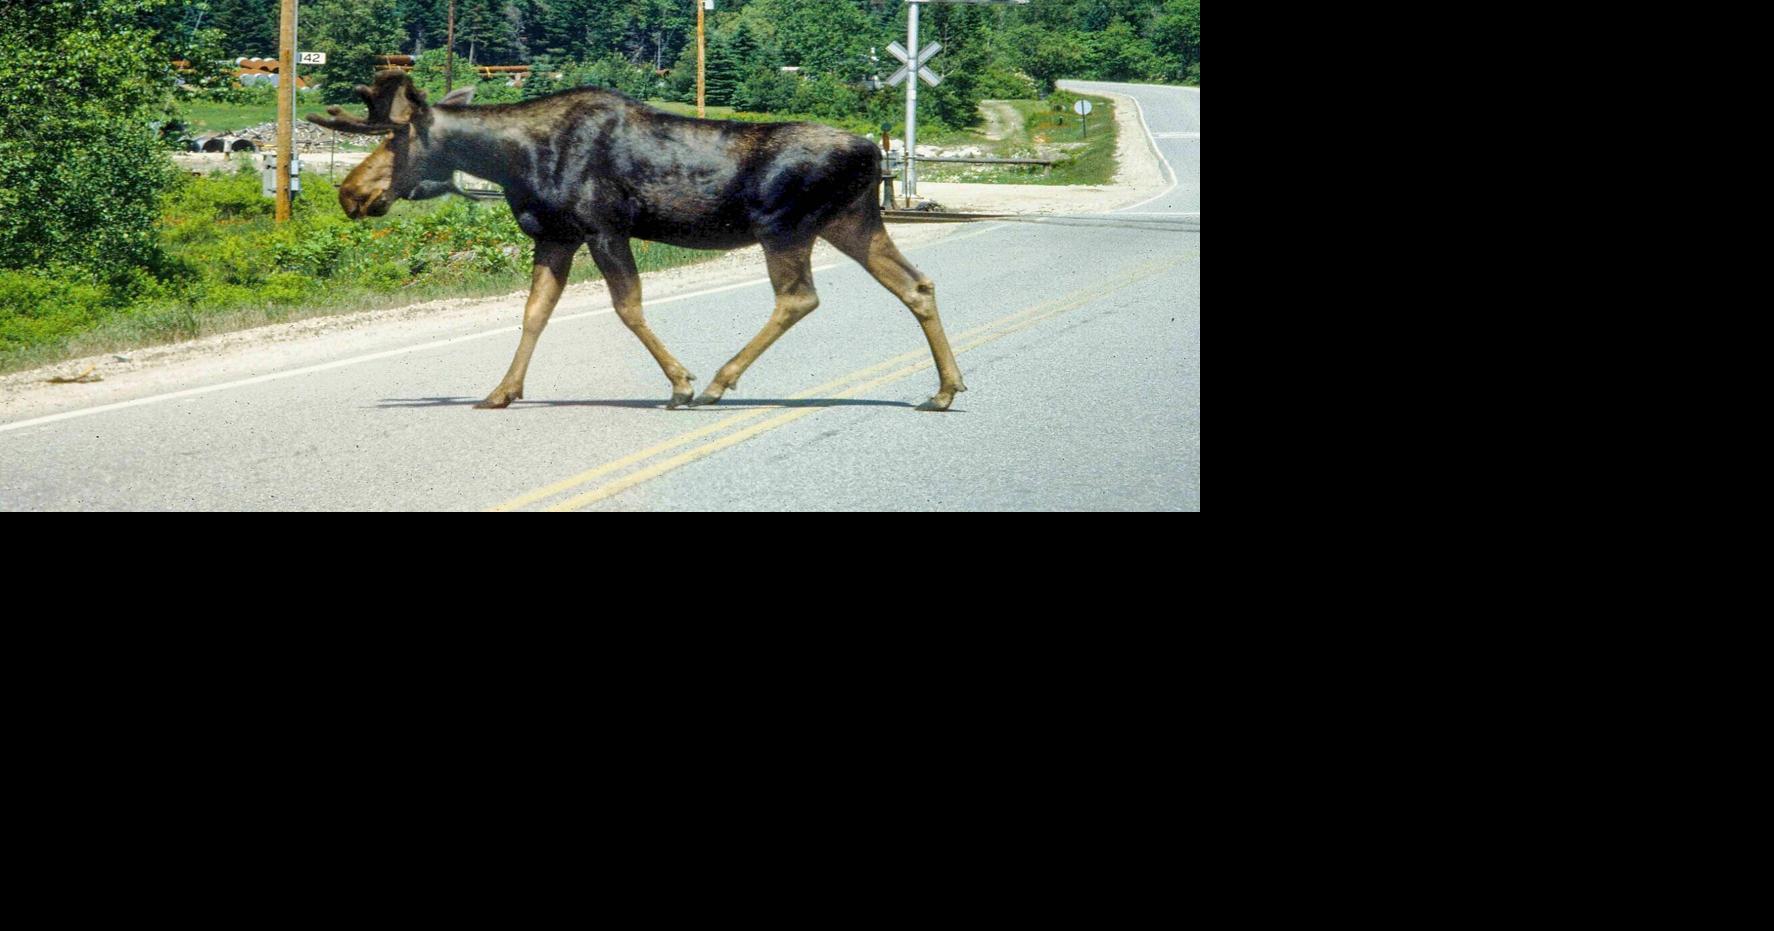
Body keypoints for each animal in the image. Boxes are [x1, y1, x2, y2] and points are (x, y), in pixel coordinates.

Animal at [307, 72, 967, 412]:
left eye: (393, 138)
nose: (349, 192)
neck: (511, 162)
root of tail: (875, 151)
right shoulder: (555, 236)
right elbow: (534, 312)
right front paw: (501, 391)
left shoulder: (603, 226)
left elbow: (627, 306)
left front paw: (680, 383)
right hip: (852, 222)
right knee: (917, 284)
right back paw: (944, 389)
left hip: (785, 225)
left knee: (798, 297)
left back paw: (719, 382)